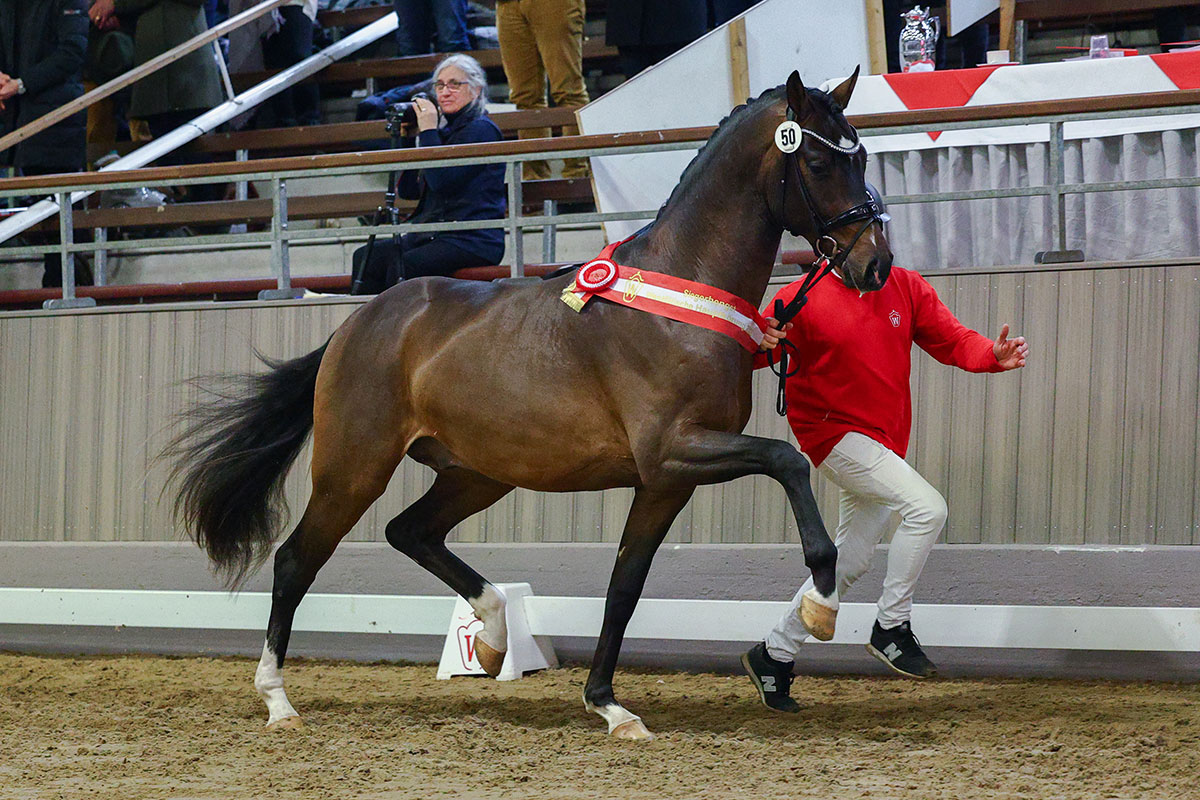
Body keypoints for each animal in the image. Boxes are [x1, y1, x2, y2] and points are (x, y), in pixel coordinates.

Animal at [165, 68, 892, 741]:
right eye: (821, 162)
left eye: (860, 158)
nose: (874, 265)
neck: (684, 291)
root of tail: (358, 324)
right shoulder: (676, 450)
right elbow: (787, 461)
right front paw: (822, 602)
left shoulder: (666, 480)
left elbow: (624, 587)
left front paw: (609, 706)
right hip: (354, 469)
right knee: (296, 561)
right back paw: (278, 701)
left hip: (476, 473)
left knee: (411, 532)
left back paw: (490, 634)